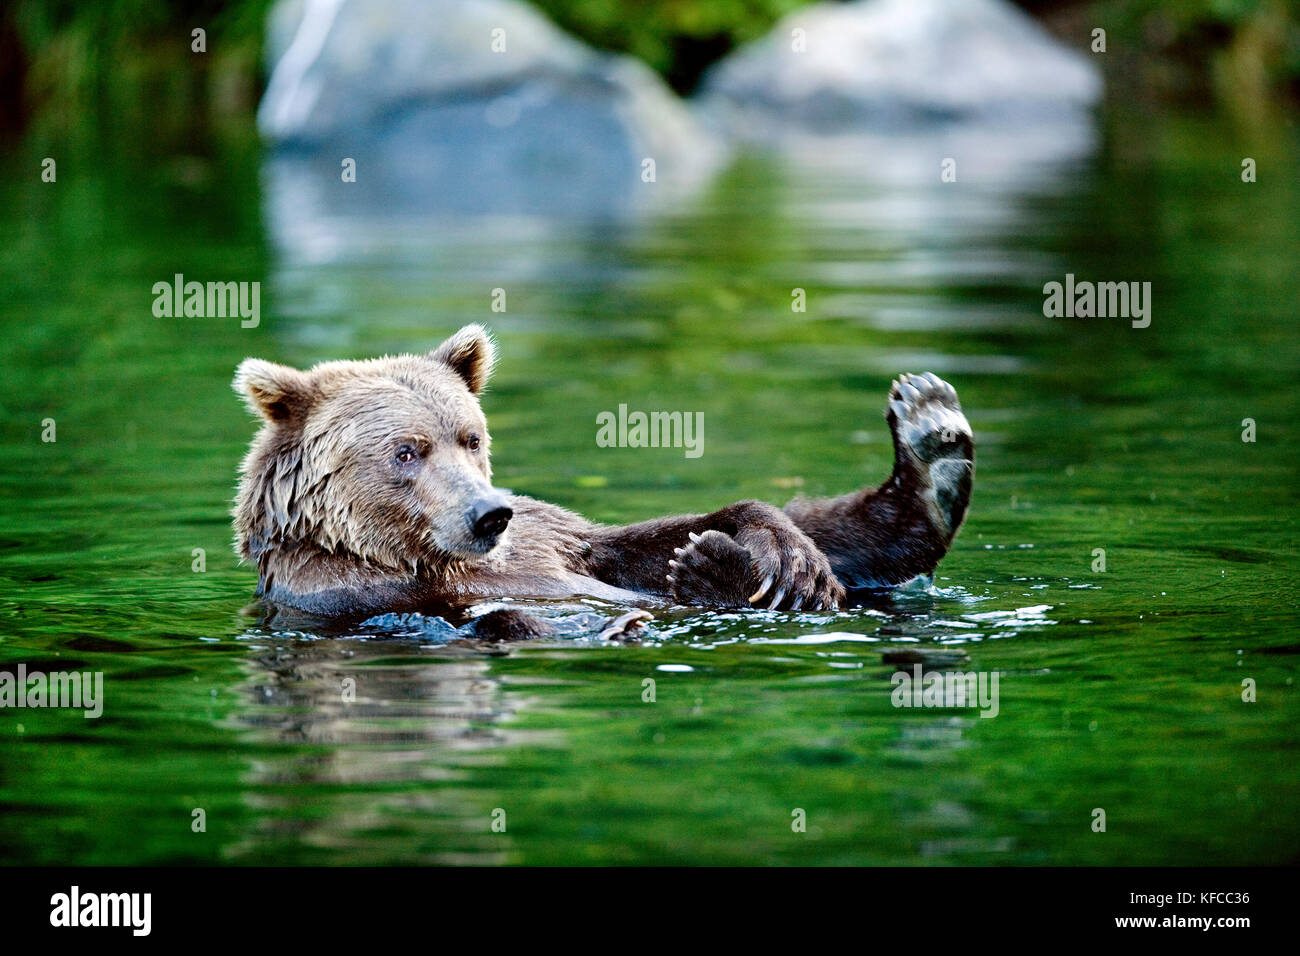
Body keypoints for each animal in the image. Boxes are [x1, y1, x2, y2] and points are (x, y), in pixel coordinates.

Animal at [232, 325, 974, 631]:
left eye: (470, 437)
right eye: (406, 452)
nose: (487, 514)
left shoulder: (549, 534)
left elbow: (624, 544)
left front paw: (777, 551)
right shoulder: (350, 596)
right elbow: (486, 615)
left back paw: (931, 444)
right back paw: (714, 574)